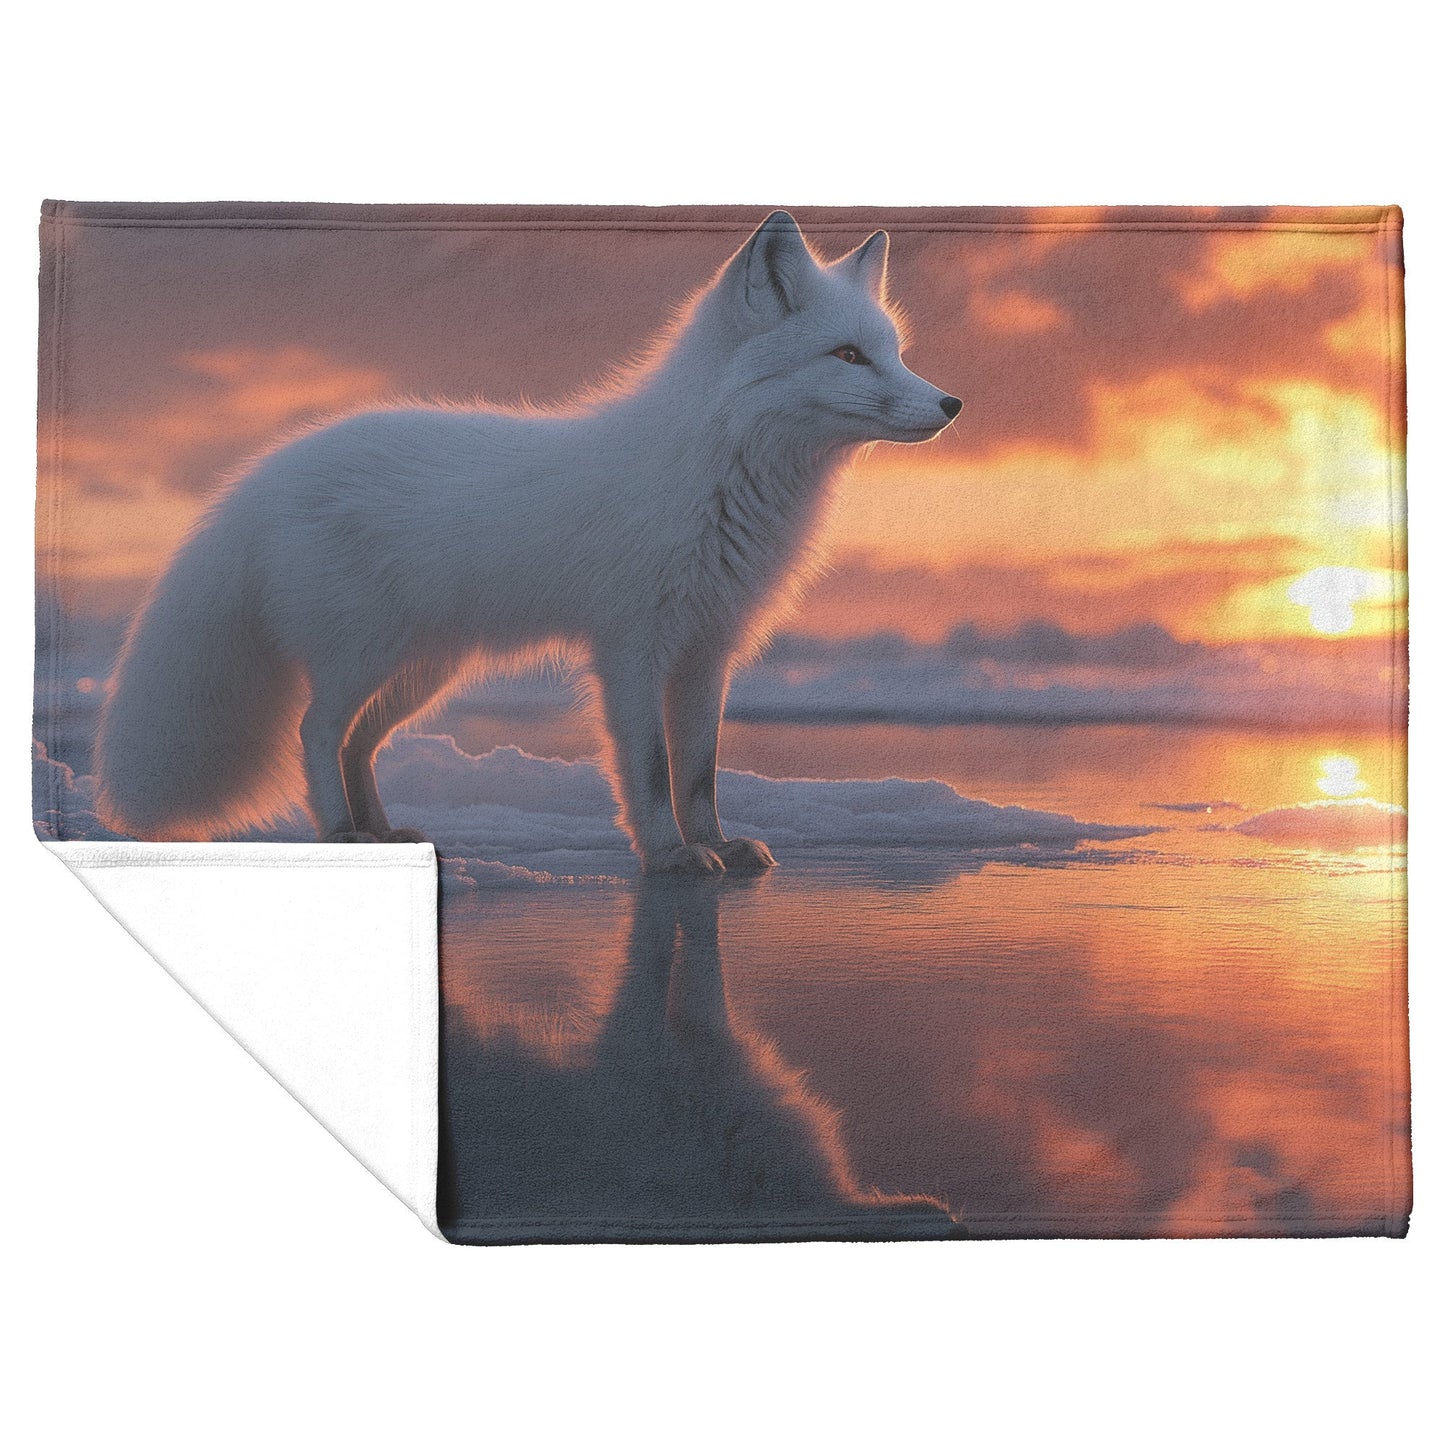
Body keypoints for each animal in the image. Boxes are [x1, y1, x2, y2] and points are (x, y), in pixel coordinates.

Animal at [97, 211, 961, 873]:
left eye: (894, 352)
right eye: (846, 355)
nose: (952, 403)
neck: (715, 473)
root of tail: (268, 469)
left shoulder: (707, 650)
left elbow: (700, 774)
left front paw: (716, 846)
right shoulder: (629, 647)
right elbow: (651, 772)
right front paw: (669, 856)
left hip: (424, 669)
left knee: (356, 744)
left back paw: (380, 828)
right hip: (365, 654)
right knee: (315, 732)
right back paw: (341, 832)